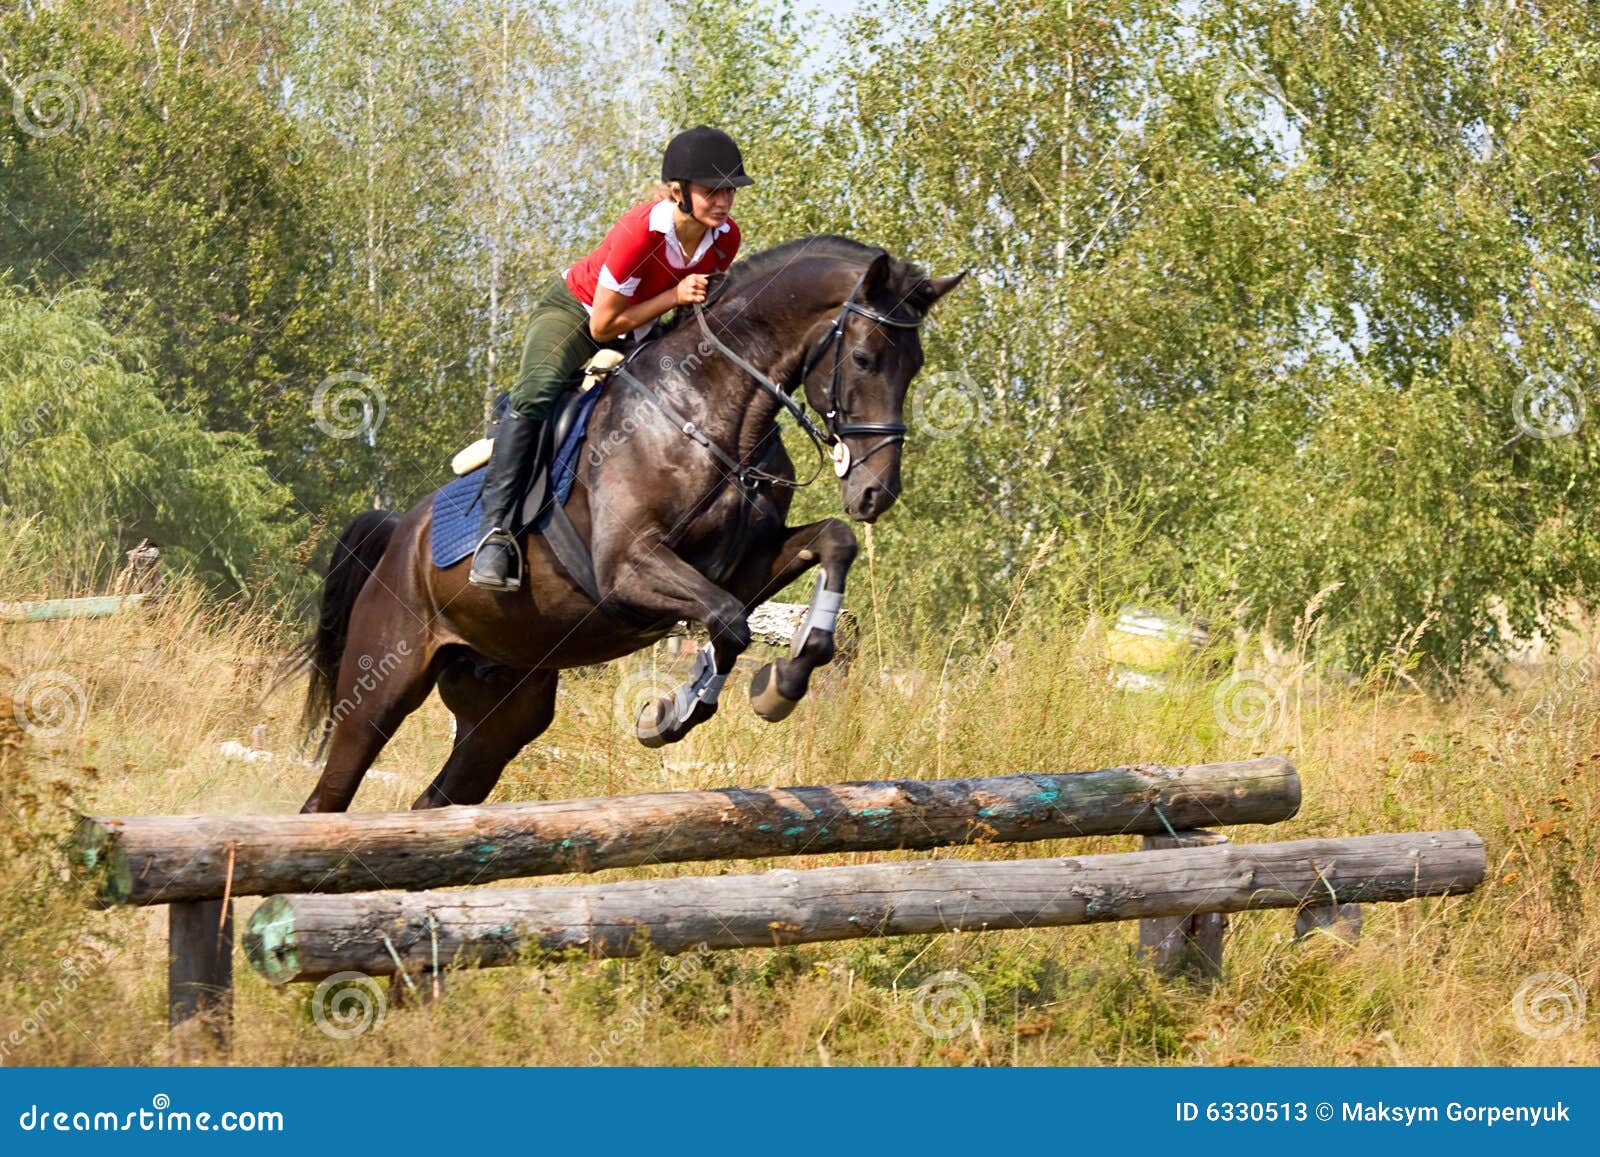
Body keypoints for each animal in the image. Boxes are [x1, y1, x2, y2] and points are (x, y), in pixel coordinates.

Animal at [298, 236, 964, 813]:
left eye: (916, 366)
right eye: (864, 359)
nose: (876, 492)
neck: (711, 410)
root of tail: (397, 537)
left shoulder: (744, 564)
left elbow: (829, 545)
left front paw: (786, 679)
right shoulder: (627, 570)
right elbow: (728, 624)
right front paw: (671, 714)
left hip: (506, 702)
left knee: (438, 798)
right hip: (382, 684)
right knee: (329, 795)